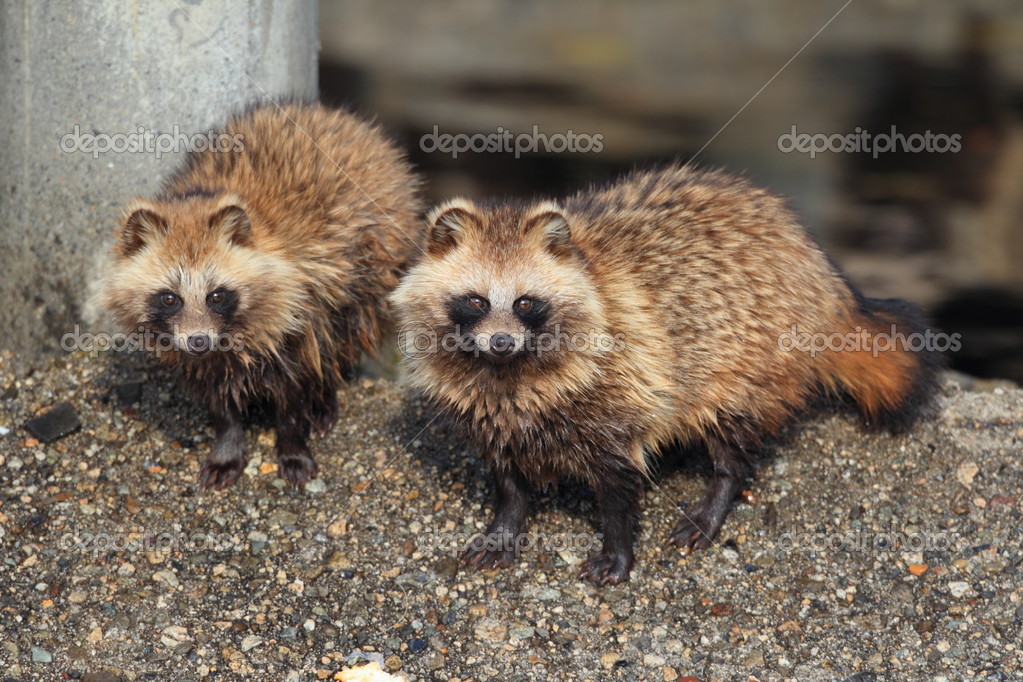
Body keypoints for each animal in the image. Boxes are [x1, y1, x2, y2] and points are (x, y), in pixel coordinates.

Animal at [98, 103, 422, 489]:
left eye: (217, 295)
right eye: (169, 298)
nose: (198, 341)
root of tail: (331, 115)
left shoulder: (302, 300)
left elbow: (294, 383)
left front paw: (293, 440)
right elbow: (217, 396)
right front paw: (227, 443)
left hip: (374, 260)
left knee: (344, 331)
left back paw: (325, 388)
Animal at [390, 165, 940, 584]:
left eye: (526, 303)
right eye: (476, 301)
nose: (501, 342)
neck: (508, 374)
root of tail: (824, 278)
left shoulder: (623, 382)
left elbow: (617, 483)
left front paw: (617, 546)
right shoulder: (483, 410)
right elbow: (506, 477)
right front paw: (506, 520)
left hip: (753, 355)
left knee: (731, 434)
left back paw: (716, 494)